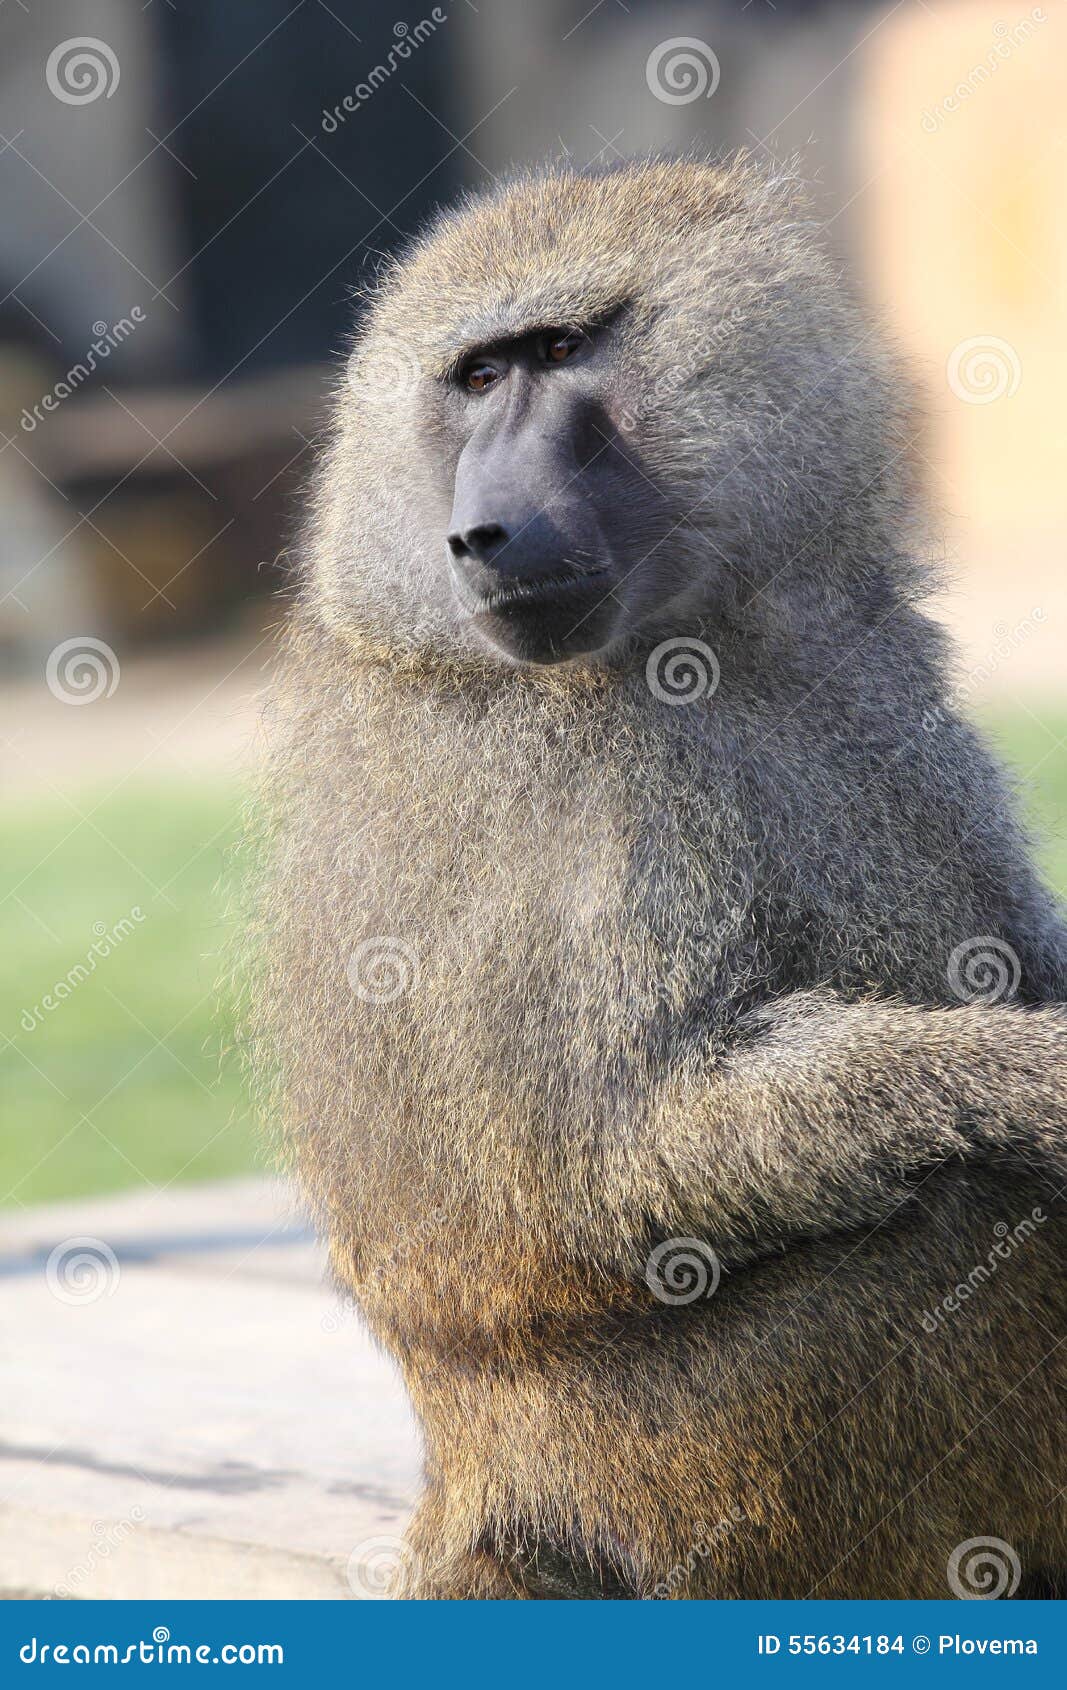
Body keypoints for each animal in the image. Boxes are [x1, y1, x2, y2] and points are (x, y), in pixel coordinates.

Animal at [245, 156, 1067, 1599]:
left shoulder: (864, 664)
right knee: (980, 1203)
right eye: (475, 377)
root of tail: (478, 1483)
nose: (481, 532)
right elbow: (623, 1151)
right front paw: (1035, 1084)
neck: (710, 634)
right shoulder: (589, 793)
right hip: (720, 1473)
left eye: (558, 352)